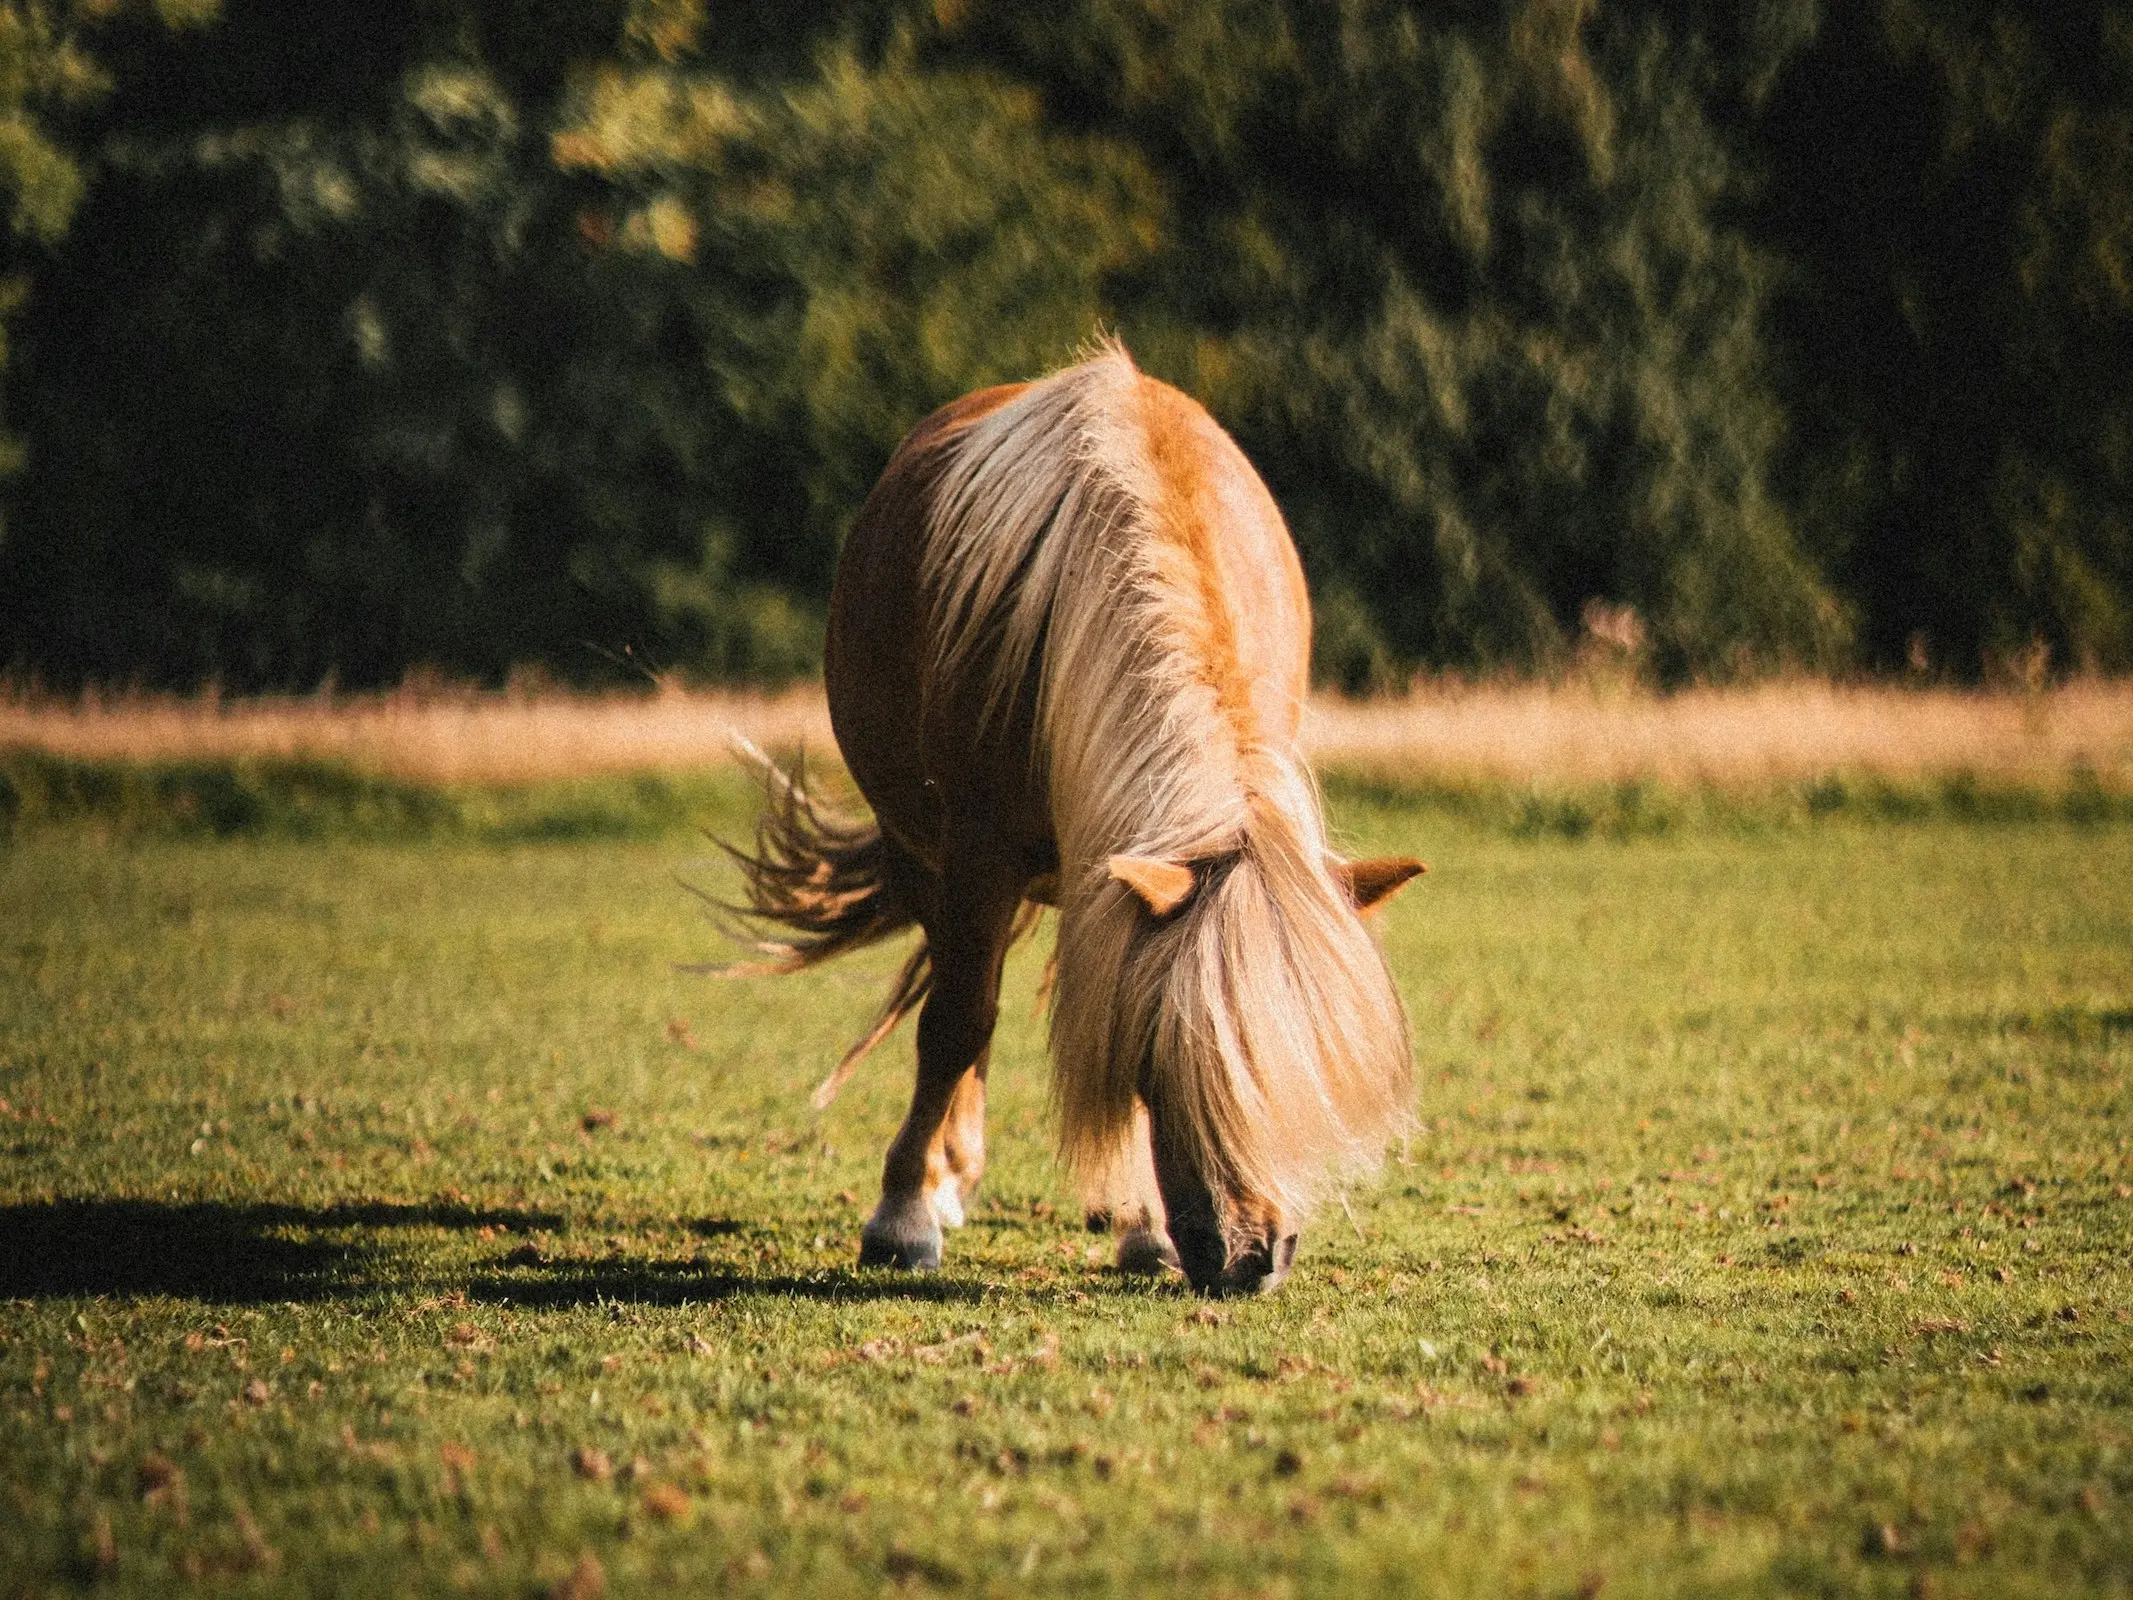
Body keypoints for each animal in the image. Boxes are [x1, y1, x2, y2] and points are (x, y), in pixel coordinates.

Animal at [721, 341, 1422, 1295]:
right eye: (1165, 1055)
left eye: (1304, 1060)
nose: (1249, 1259)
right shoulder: (977, 854)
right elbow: (958, 1022)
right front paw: (902, 1215)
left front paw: (1137, 1227)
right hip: (930, 857)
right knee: (958, 998)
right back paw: (941, 1181)